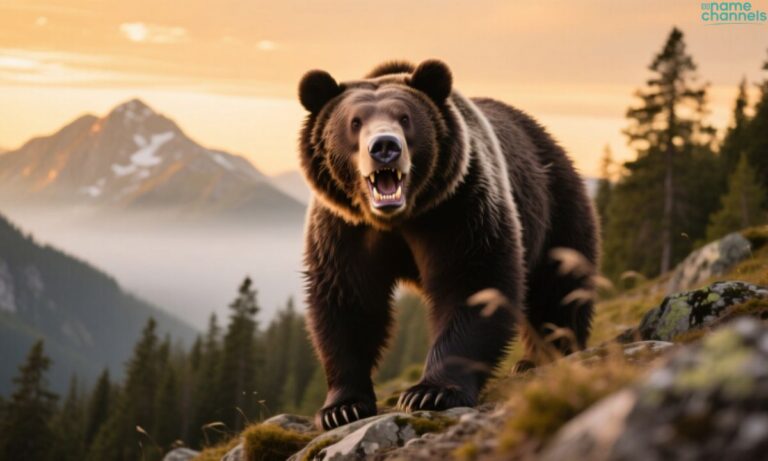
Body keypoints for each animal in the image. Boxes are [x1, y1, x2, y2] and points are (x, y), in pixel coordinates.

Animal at [297, 59, 599, 430]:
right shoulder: (344, 230)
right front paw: (342, 407)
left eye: (405, 118)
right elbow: (347, 301)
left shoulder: (458, 211)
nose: (385, 147)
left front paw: (430, 392)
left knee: (560, 285)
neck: (399, 218)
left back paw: (548, 354)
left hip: (555, 203)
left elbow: (473, 283)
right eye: (354, 122)